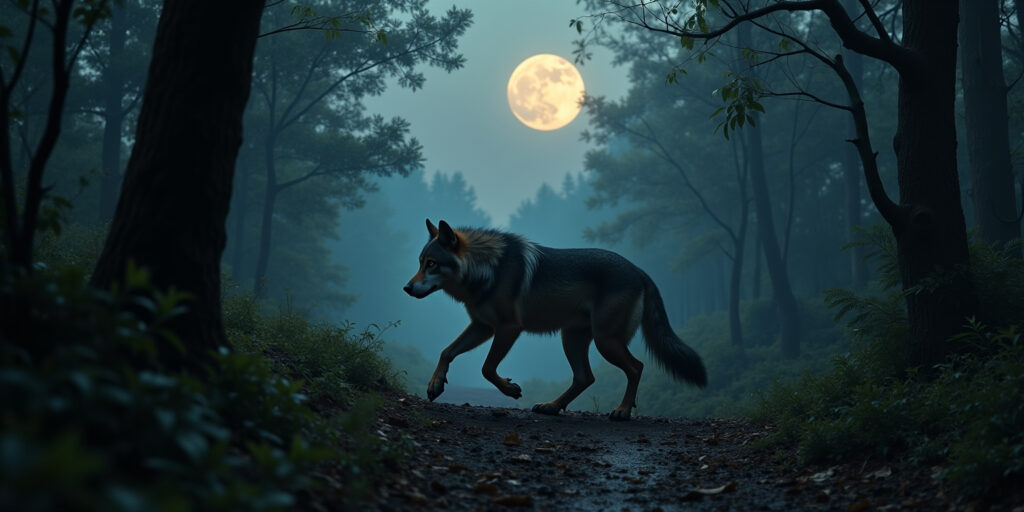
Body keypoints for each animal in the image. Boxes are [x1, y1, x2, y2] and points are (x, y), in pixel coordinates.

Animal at [403, 219, 707, 420]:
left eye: (431, 264)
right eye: (419, 262)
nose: (406, 288)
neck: (488, 270)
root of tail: (640, 272)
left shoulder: (508, 328)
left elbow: (487, 369)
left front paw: (510, 390)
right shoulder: (483, 327)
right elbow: (447, 351)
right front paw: (435, 384)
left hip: (605, 342)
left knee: (636, 367)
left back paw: (621, 411)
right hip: (572, 339)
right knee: (585, 377)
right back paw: (551, 406)